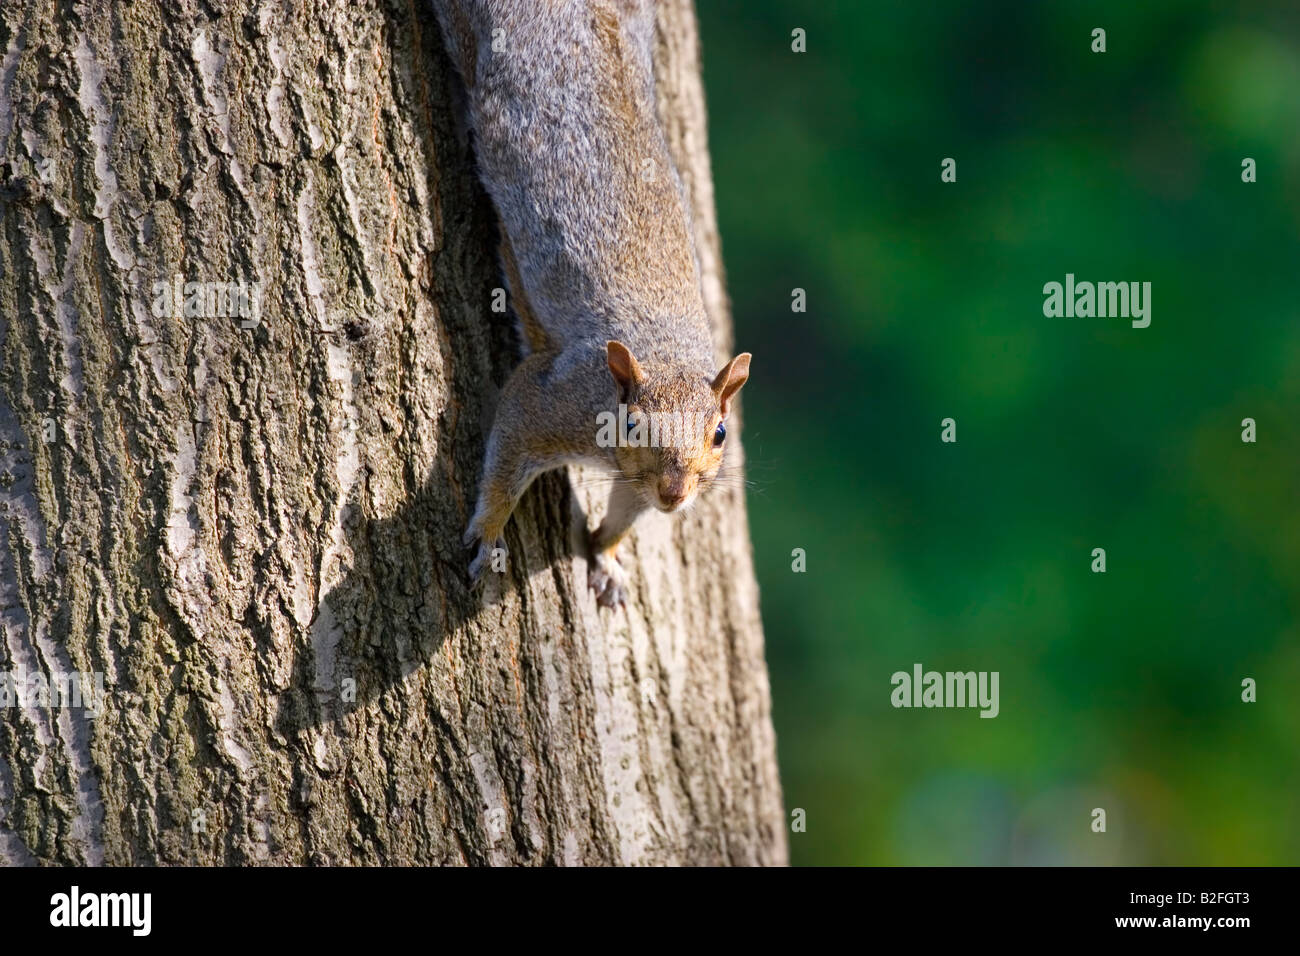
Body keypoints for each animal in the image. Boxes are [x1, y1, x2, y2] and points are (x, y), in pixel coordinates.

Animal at [428, 0, 751, 608]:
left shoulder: (637, 480)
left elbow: (627, 511)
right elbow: (509, 452)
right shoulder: (554, 400)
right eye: (632, 425)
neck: (665, 352)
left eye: (720, 433)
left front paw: (607, 554)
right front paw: (489, 533)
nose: (675, 494)